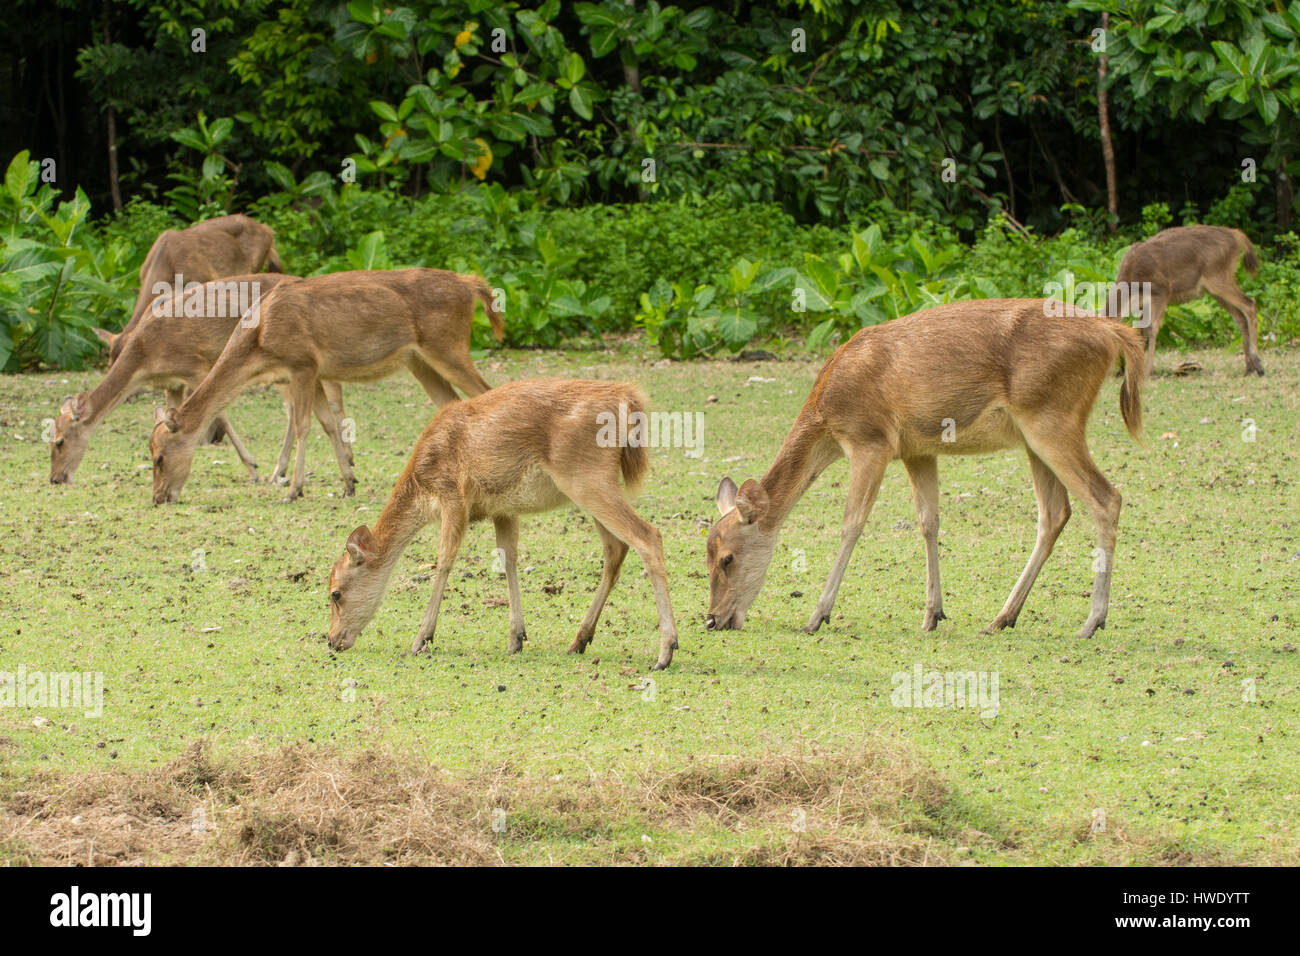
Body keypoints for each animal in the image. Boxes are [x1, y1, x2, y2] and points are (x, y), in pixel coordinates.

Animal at [49, 274, 353, 488]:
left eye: (59, 442)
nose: (55, 478)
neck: (146, 357)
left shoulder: (196, 366)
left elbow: (220, 415)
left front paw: (252, 468)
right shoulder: (172, 383)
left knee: (321, 398)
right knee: (300, 406)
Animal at [150, 268, 503, 504]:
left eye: (159, 458)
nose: (159, 498)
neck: (260, 341)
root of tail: (470, 285)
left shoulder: (303, 364)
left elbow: (303, 425)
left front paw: (293, 489)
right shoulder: (317, 373)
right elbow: (329, 424)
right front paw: (348, 483)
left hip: (448, 345)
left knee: (485, 391)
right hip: (419, 361)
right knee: (451, 403)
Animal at [325, 378, 680, 670]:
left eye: (335, 594)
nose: (331, 641)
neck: (422, 483)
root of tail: (629, 400)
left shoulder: (453, 497)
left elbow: (444, 560)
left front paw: (420, 640)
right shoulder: (503, 509)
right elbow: (509, 560)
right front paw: (516, 639)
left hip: (586, 479)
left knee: (648, 536)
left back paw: (665, 652)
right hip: (592, 484)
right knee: (615, 548)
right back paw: (579, 640)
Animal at [705, 299, 1146, 644]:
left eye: (727, 558)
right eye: (705, 554)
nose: (712, 619)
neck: (826, 415)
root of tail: (1115, 333)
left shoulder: (871, 442)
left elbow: (852, 524)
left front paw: (816, 617)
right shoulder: (917, 450)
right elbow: (928, 520)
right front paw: (932, 614)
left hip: (1053, 419)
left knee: (1107, 498)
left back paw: (1092, 621)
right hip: (1034, 437)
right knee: (1055, 512)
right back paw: (1001, 618)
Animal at [1110, 224, 1263, 375]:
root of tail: (1236, 234)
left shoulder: (1162, 291)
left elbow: (1152, 328)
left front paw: (1148, 370)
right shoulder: (1143, 303)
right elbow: (1140, 331)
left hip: (1218, 276)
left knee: (1250, 304)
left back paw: (1259, 366)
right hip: (1214, 288)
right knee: (1239, 316)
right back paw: (1249, 367)